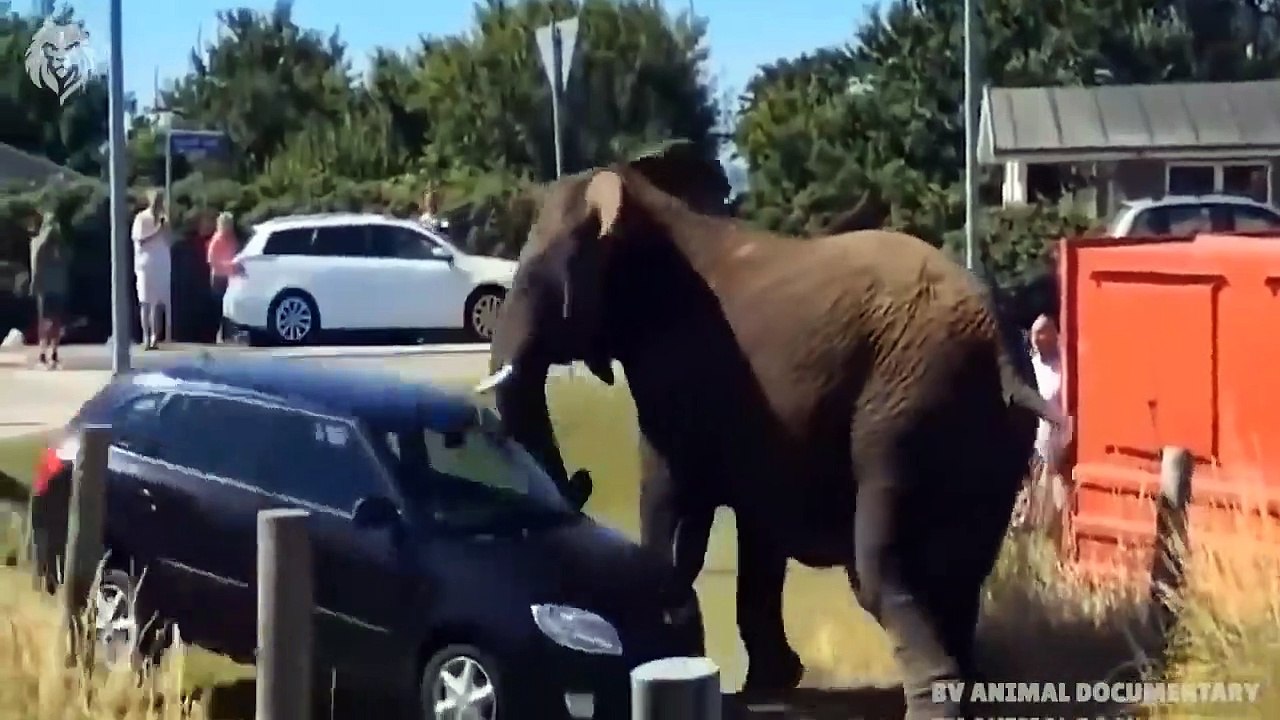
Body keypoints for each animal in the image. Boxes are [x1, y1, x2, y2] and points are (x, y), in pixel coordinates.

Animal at [479, 156, 1070, 719]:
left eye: (532, 282)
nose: (581, 480)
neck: (647, 204)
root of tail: (998, 338)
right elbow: (757, 532)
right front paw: (771, 682)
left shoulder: (679, 371)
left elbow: (674, 502)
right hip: (992, 432)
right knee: (963, 570)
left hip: (906, 411)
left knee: (880, 567)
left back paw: (932, 708)